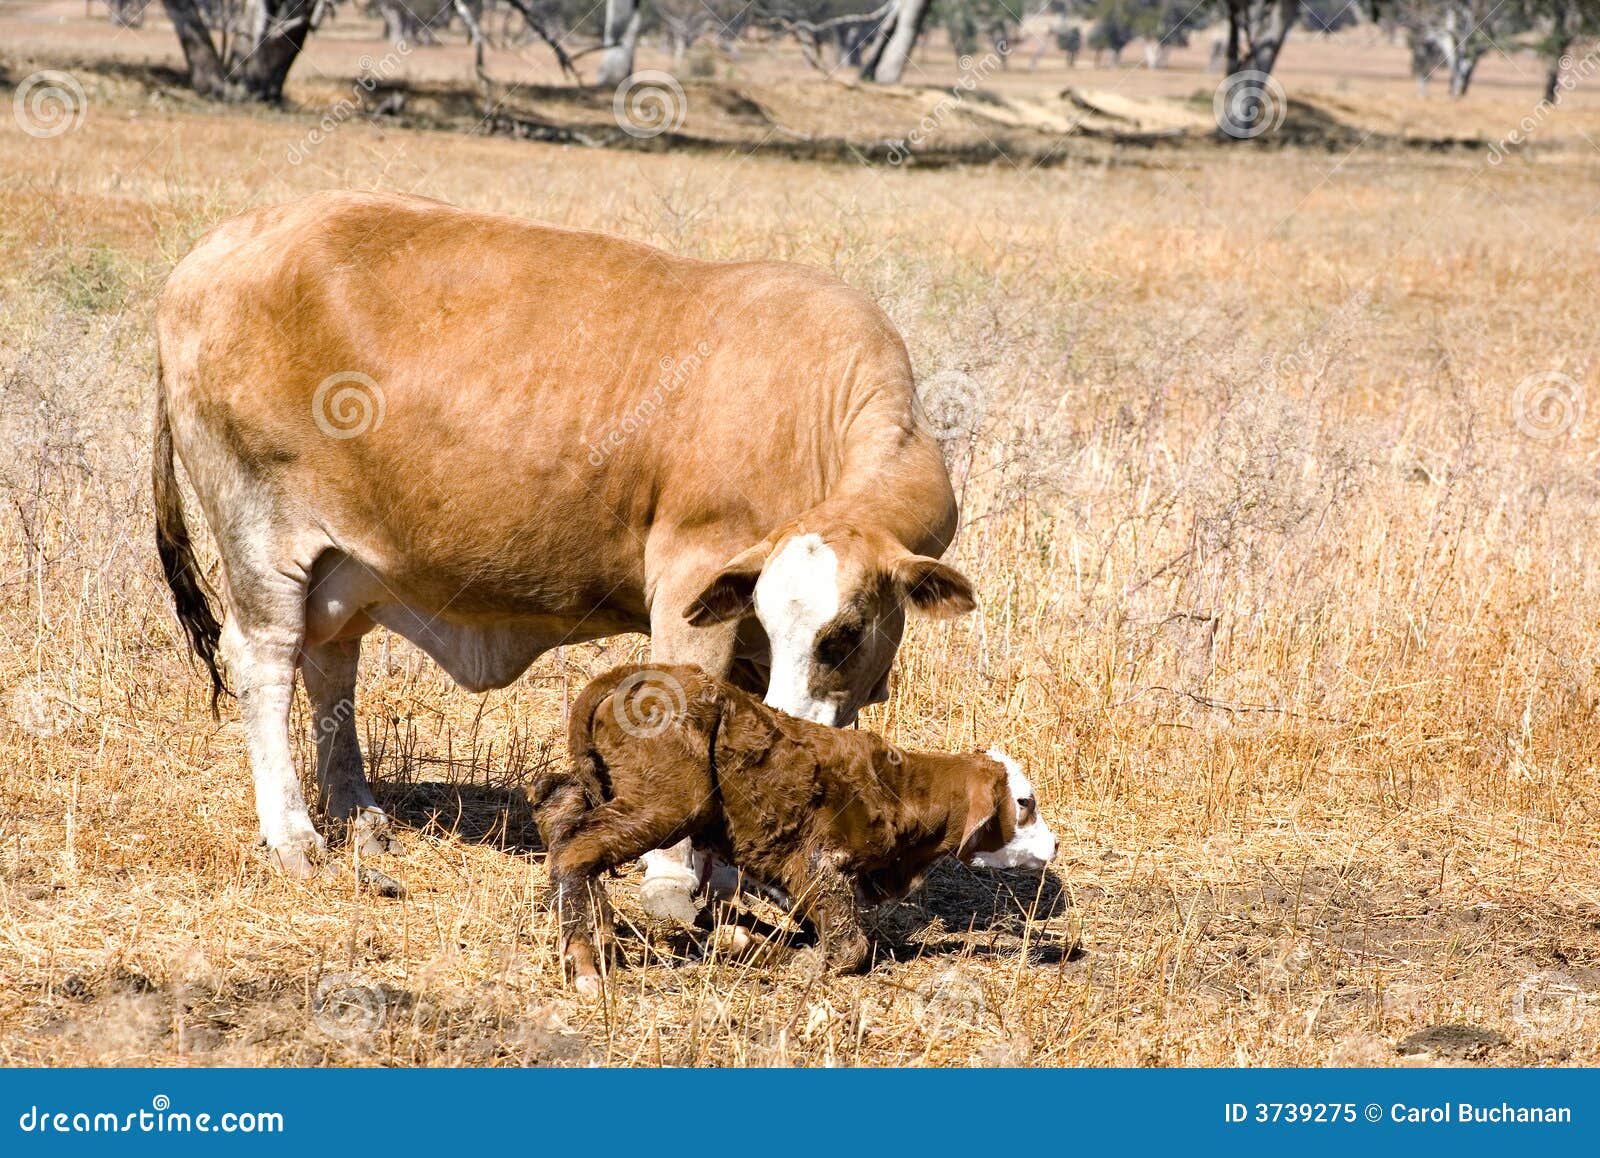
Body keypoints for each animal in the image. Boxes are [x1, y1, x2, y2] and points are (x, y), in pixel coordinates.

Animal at [152, 190, 974, 924]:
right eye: (808, 632)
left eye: (844, 635)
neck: (815, 406)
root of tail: (210, 252)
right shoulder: (692, 579)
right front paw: (671, 881)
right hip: (261, 532)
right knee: (266, 658)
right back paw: (293, 833)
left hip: (346, 562)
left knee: (332, 664)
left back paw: (358, 813)